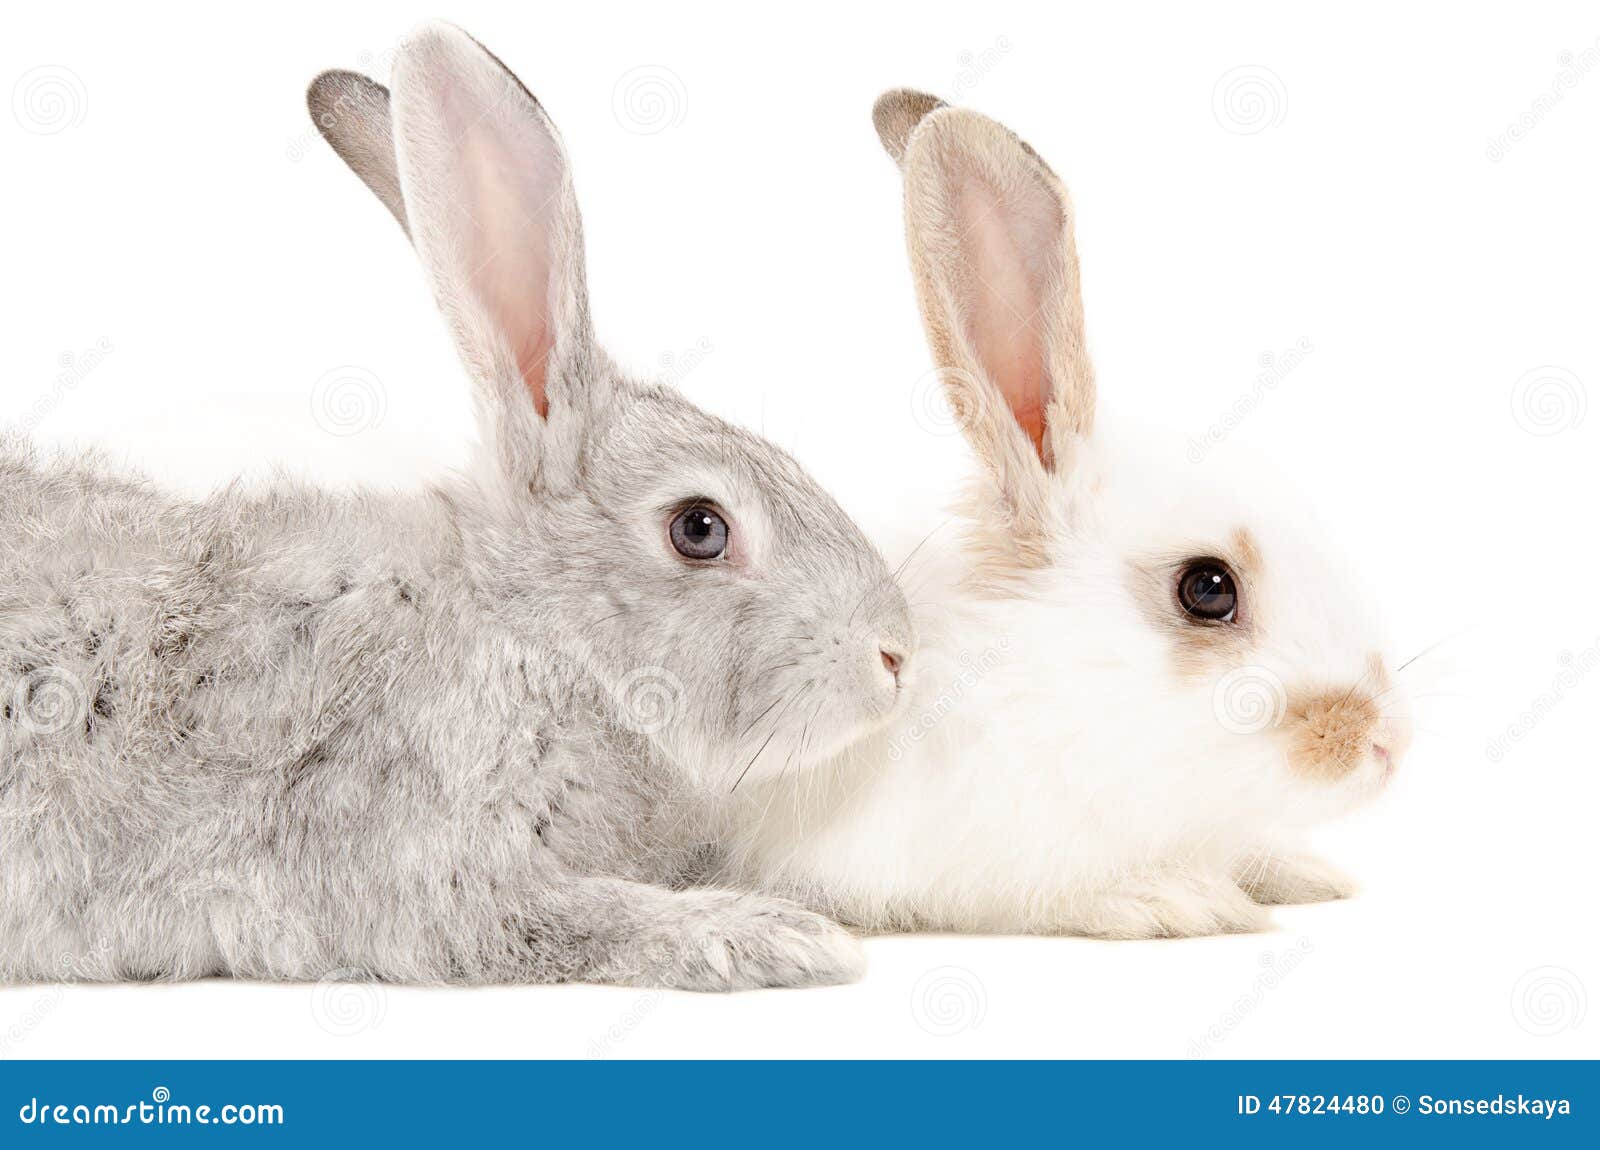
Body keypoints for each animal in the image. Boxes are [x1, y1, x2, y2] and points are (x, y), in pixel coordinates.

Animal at [0, 24, 916, 991]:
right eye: (699, 528)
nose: (896, 656)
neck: (535, 638)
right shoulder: (433, 858)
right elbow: (563, 921)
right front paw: (778, 935)